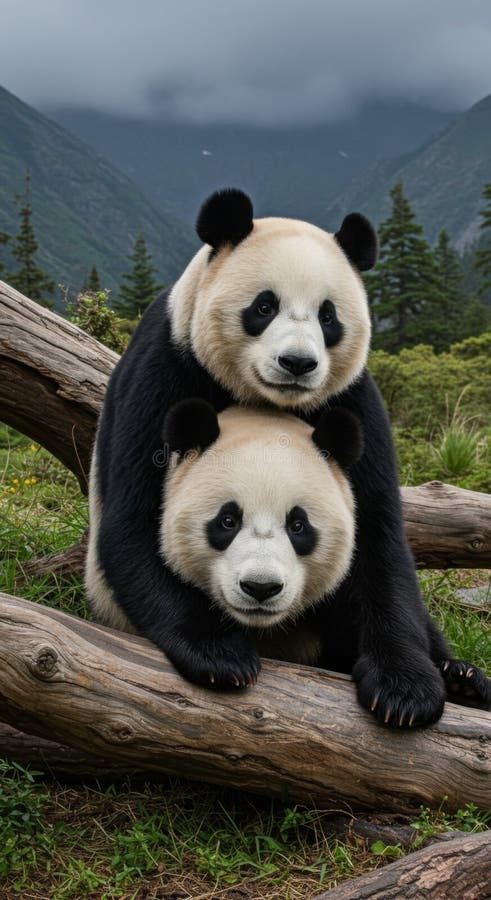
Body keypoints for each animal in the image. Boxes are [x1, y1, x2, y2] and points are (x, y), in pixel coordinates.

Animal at [86, 188, 491, 726]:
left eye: (328, 316)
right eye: (264, 306)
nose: (297, 363)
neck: (266, 401)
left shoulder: (353, 402)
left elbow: (378, 541)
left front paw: (406, 691)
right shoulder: (165, 370)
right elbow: (131, 524)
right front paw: (221, 656)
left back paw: (462, 677)